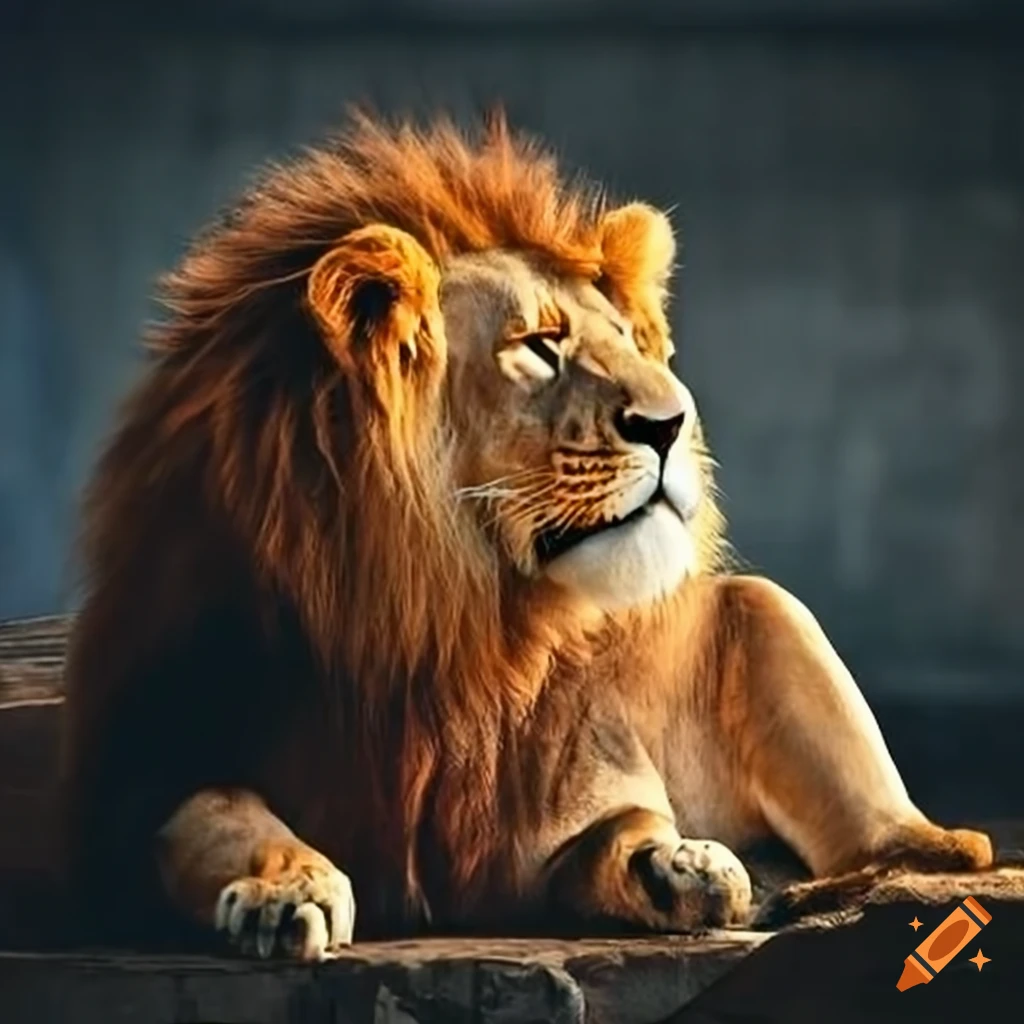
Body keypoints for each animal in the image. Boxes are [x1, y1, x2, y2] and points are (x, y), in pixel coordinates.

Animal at [60, 113, 994, 961]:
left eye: (633, 342)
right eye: (540, 346)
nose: (674, 422)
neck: (453, 634)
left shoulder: (562, 795)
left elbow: (623, 826)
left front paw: (682, 864)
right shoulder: (138, 783)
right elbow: (222, 812)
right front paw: (286, 889)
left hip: (771, 617)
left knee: (905, 848)